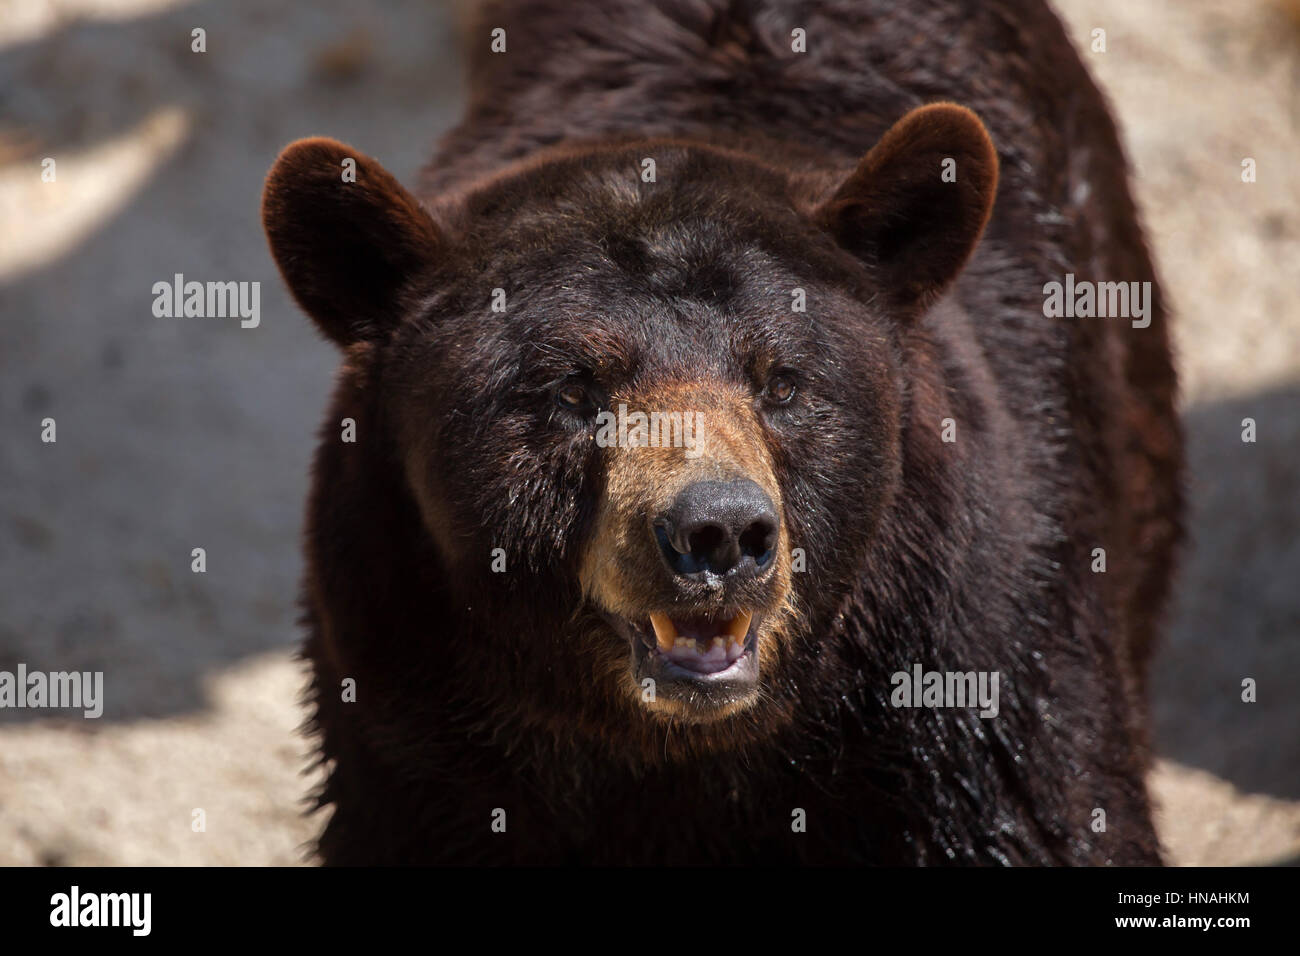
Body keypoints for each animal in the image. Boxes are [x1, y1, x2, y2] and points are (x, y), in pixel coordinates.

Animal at [261, 0, 1182, 865]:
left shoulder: (974, 676)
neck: (687, 752)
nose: (721, 532)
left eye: (783, 381)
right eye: (572, 388)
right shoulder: (407, 715)